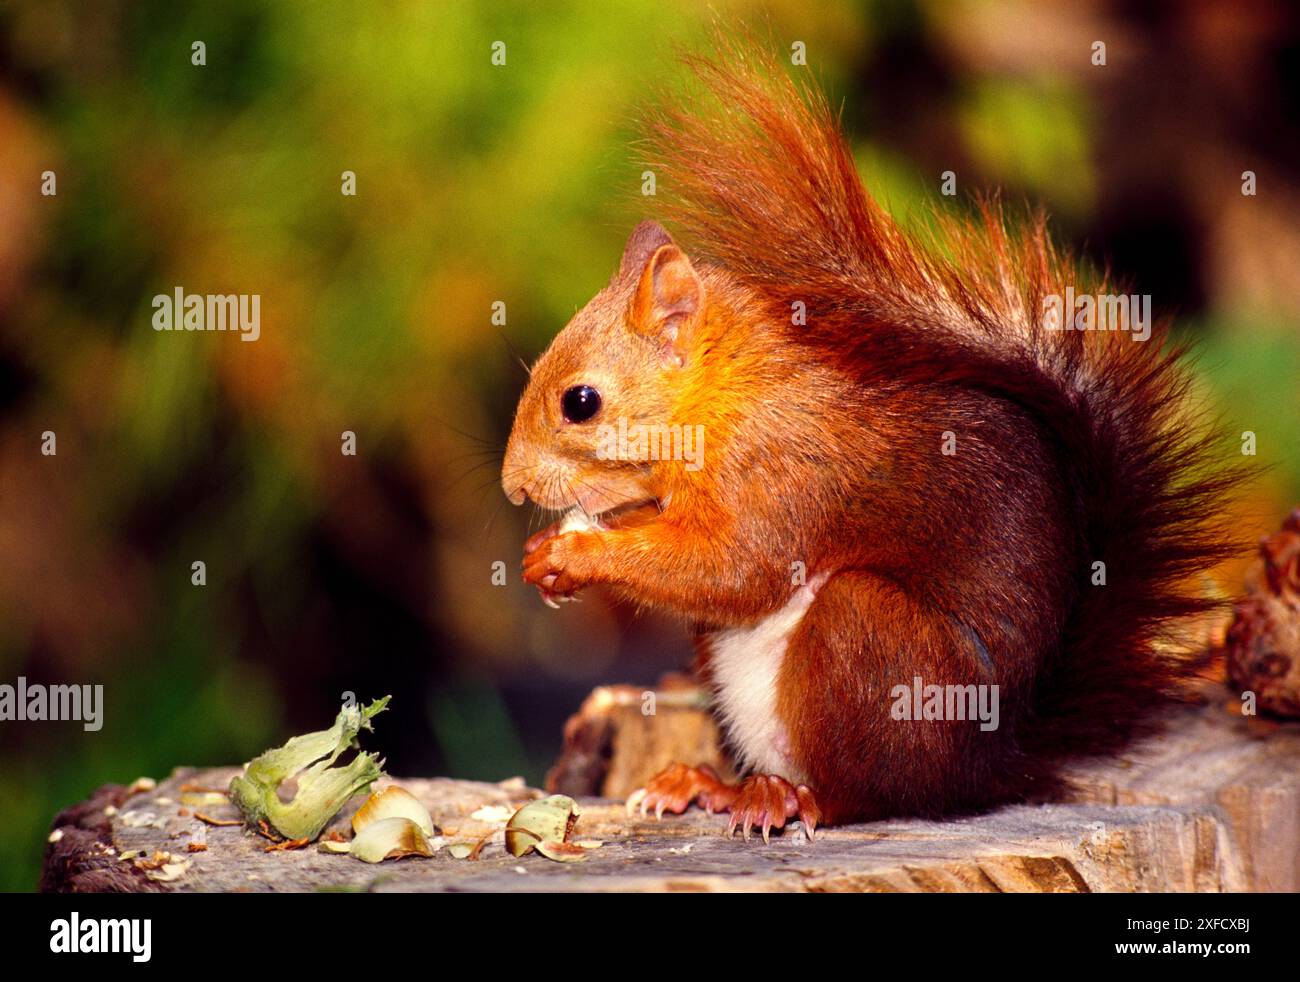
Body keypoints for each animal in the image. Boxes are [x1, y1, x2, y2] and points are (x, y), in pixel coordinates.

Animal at [500, 41, 1245, 840]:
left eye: (580, 403)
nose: (513, 486)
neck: (726, 397)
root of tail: (992, 768)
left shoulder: (785, 473)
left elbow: (733, 569)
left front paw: (576, 554)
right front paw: (546, 557)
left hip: (872, 645)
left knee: (871, 795)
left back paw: (791, 800)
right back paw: (707, 785)